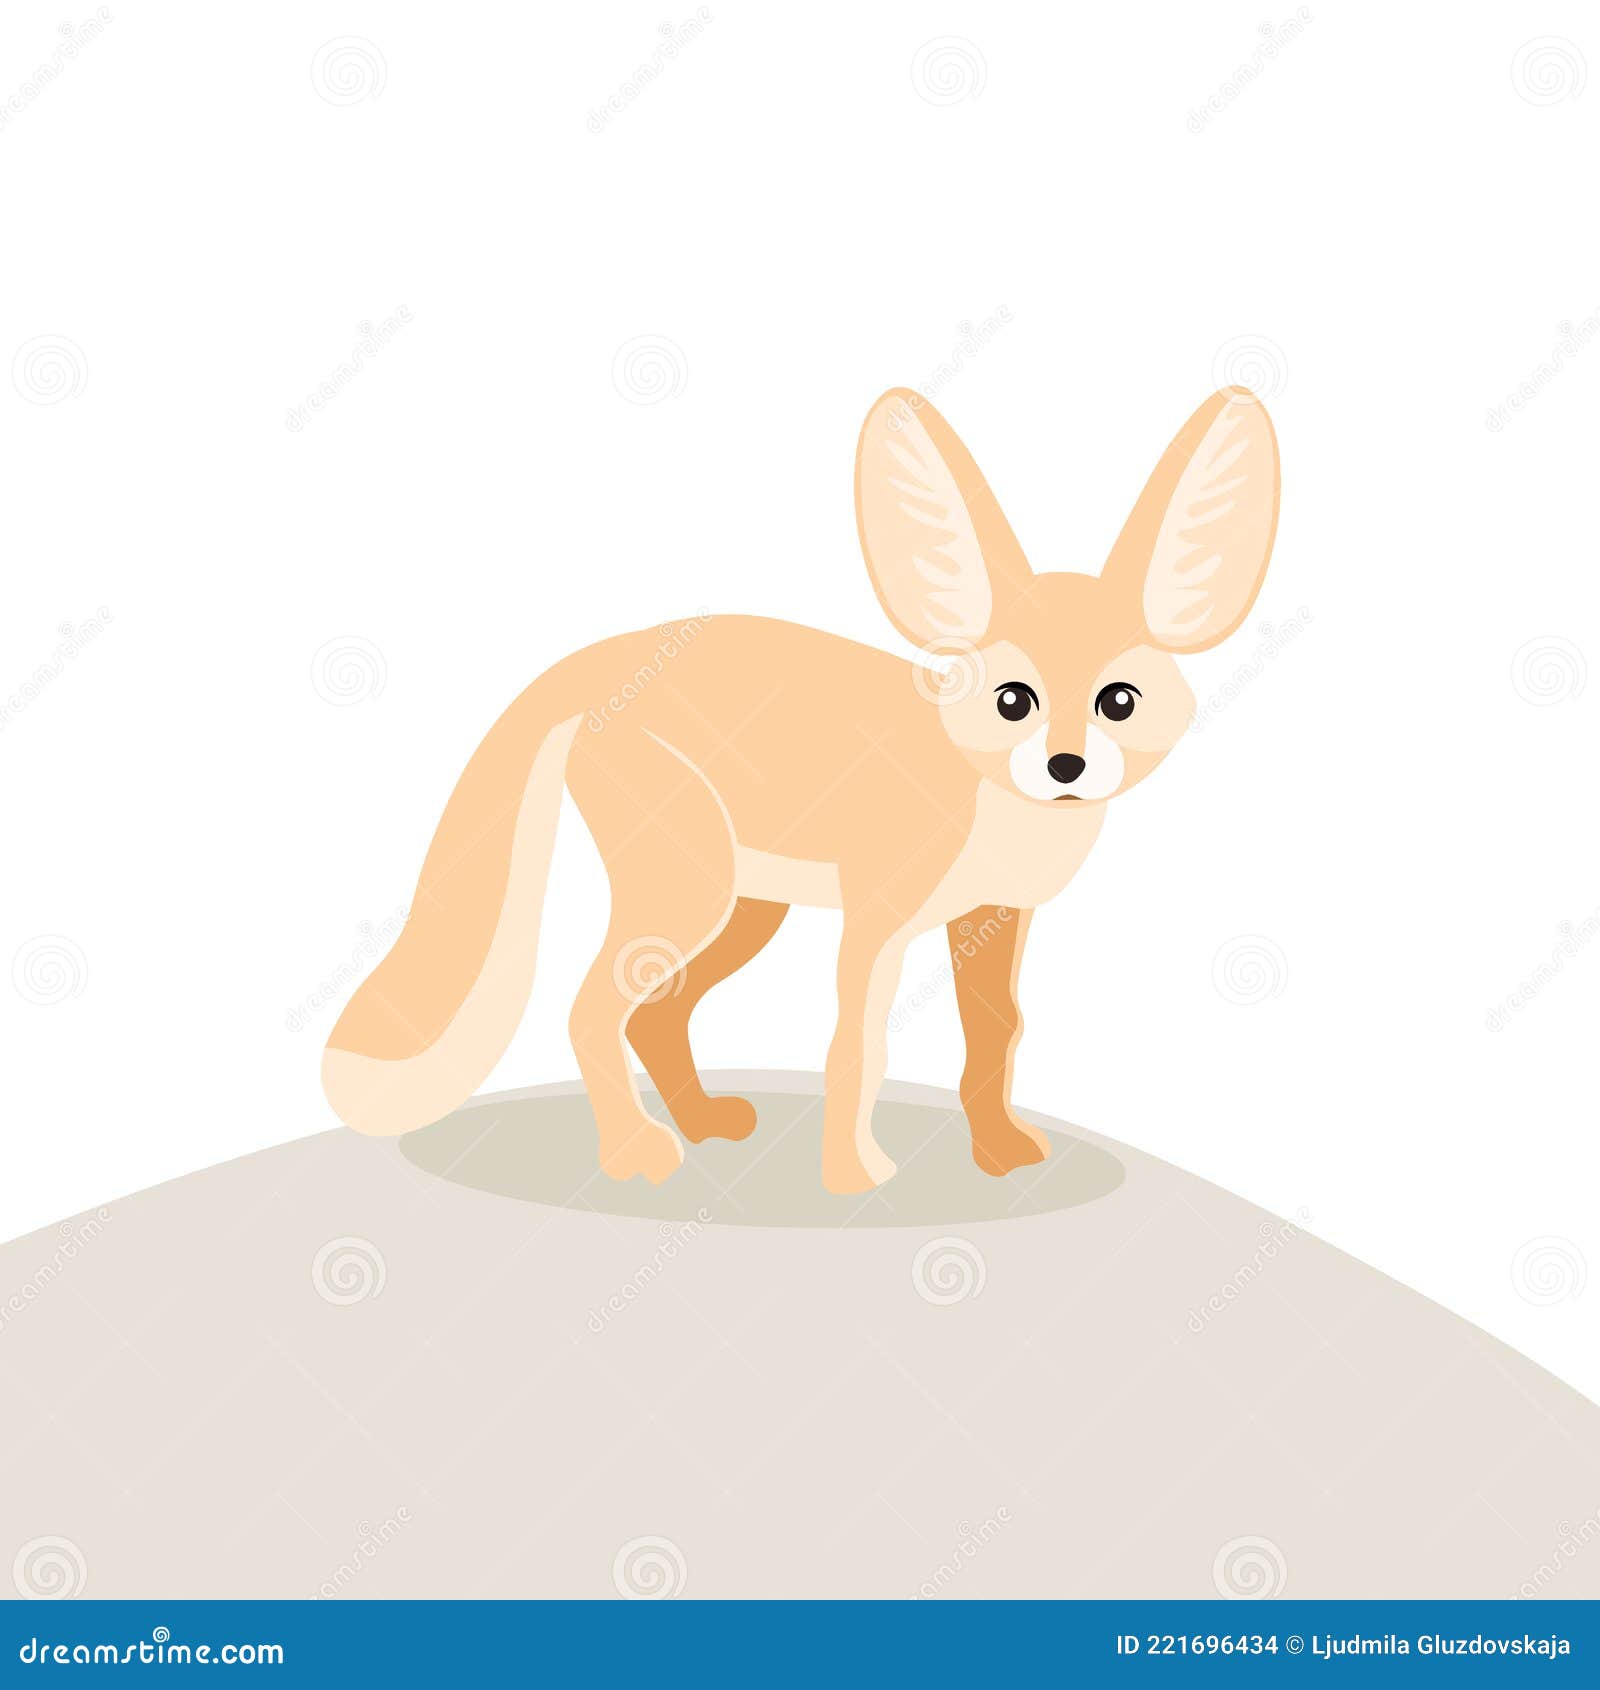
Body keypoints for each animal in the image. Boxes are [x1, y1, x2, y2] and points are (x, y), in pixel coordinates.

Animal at [323, 385, 1280, 1194]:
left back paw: (702, 1123)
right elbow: (857, 1046)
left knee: (654, 1017)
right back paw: (636, 1153)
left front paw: (999, 1151)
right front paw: (854, 1176)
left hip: (746, 908)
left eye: (1119, 702)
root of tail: (607, 657)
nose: (1066, 769)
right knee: (592, 1011)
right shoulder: (877, 917)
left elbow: (996, 1036)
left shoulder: (993, 918)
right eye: (1016, 701)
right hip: (692, 891)